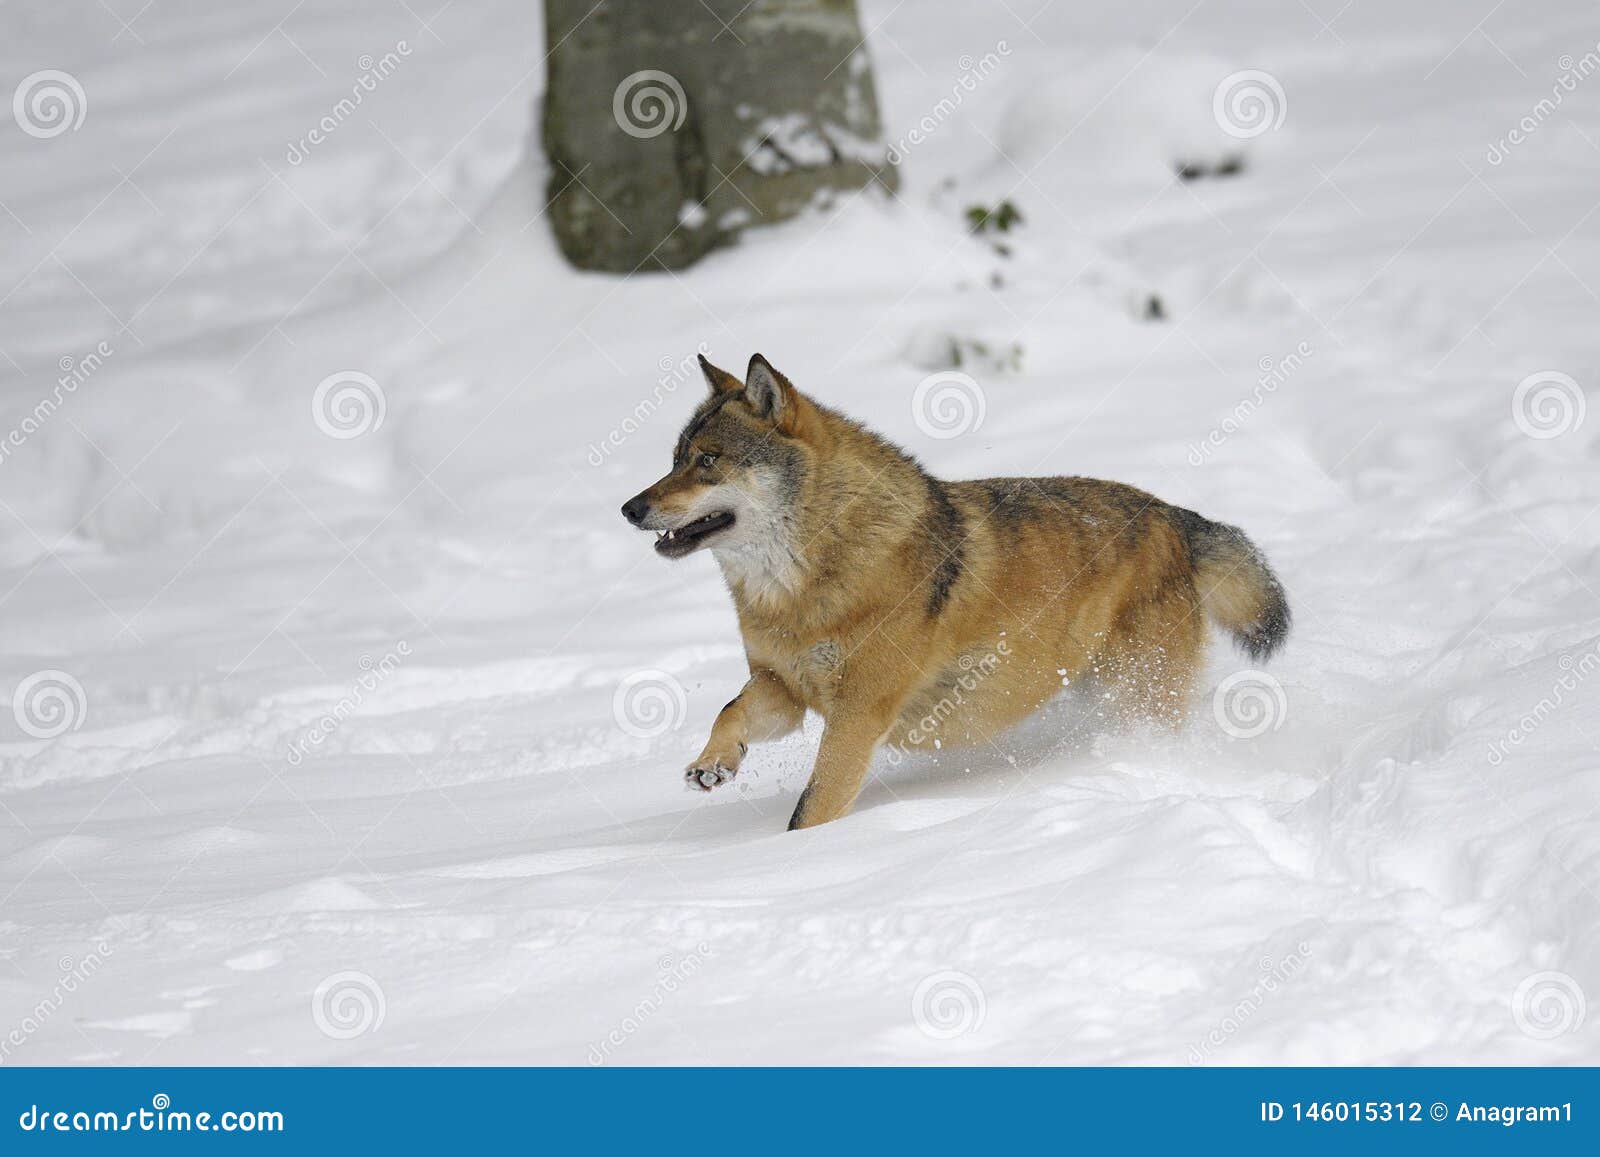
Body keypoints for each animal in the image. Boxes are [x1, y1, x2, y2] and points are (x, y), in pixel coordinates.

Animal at [621, 354, 1290, 831]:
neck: (802, 585)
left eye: (708, 461)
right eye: (674, 458)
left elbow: (812, 809)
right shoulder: (782, 688)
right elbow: (729, 710)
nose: (629, 508)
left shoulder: (858, 717)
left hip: (1137, 697)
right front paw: (711, 766)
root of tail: (1175, 515)